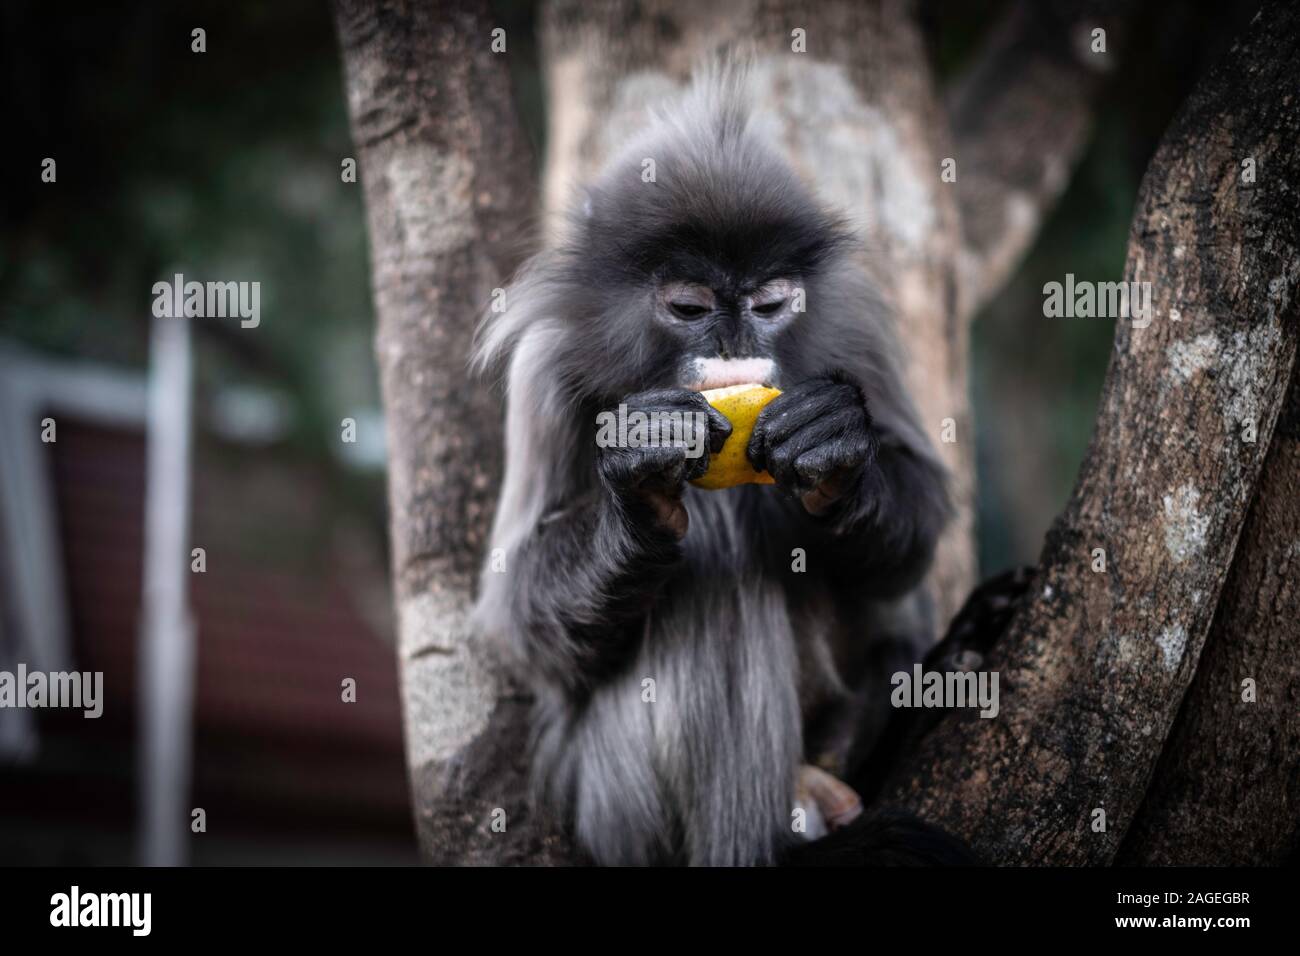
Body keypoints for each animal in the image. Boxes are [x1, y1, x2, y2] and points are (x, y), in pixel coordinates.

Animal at [474, 66, 956, 866]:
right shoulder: (543, 367)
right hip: (612, 804)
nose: (735, 344)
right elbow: (514, 618)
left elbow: (915, 525)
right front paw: (639, 491)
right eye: (691, 308)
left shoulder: (852, 325)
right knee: (714, 581)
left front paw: (837, 454)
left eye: (768, 304)